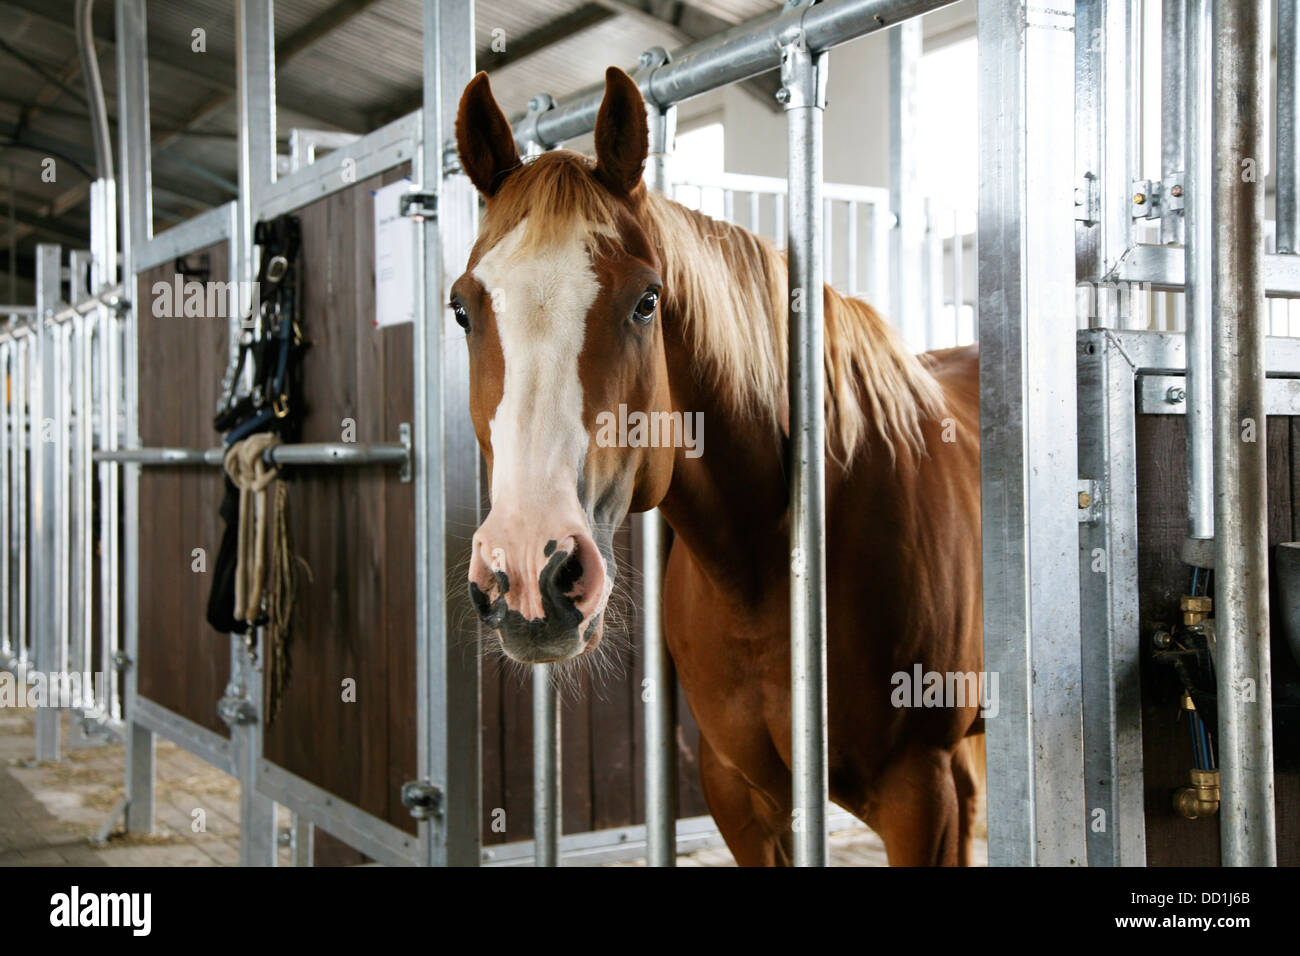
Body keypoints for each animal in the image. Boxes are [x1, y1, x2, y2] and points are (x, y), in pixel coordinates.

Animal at [452, 66, 985, 866]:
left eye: (647, 300)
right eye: (462, 309)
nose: (527, 572)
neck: (762, 580)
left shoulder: (923, 794)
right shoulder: (739, 792)